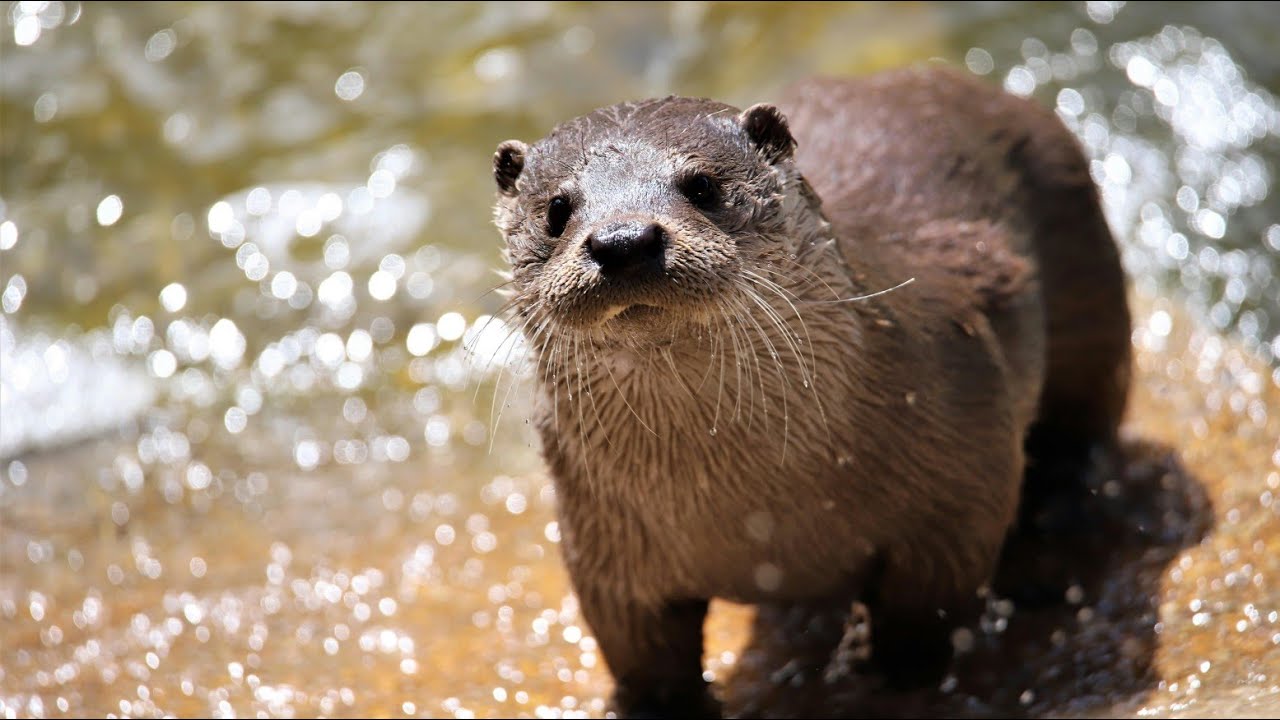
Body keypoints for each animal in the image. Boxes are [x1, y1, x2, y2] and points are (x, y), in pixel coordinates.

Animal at [489, 66, 1131, 718]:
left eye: (702, 185)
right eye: (557, 209)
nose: (623, 240)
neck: (754, 505)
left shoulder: (964, 485)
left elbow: (924, 613)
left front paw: (885, 671)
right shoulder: (603, 548)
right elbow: (643, 656)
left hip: (1087, 267)